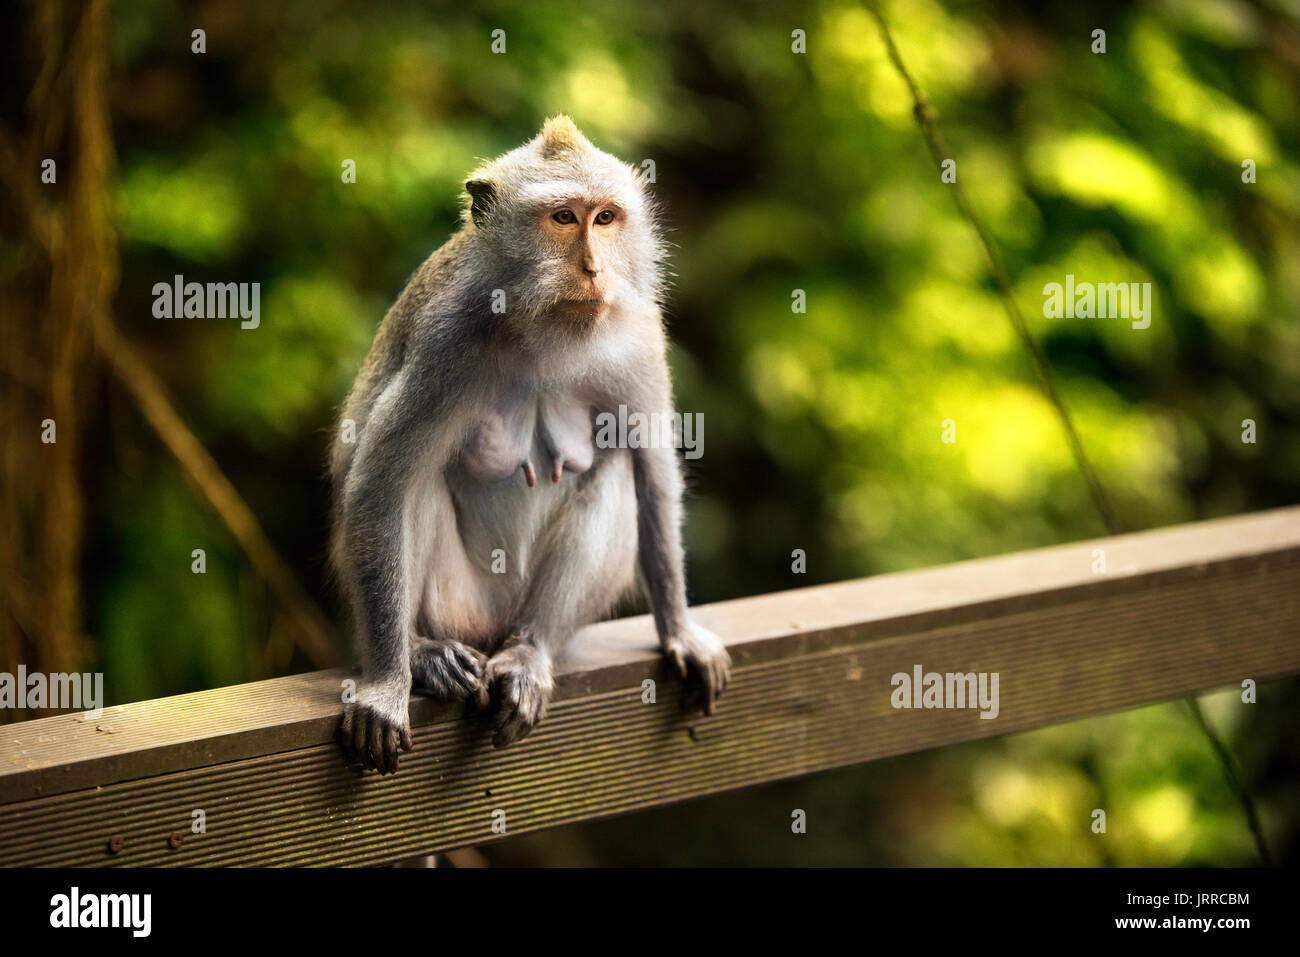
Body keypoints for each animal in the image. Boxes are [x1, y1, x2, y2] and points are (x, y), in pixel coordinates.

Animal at [330, 115, 730, 773]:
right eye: (563, 218)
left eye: (605, 219)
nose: (593, 269)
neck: (544, 325)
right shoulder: (448, 340)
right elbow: (380, 483)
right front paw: (388, 684)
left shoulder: (638, 335)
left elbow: (652, 473)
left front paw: (679, 630)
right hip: (459, 602)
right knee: (412, 485)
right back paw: (423, 653)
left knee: (616, 478)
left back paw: (530, 651)